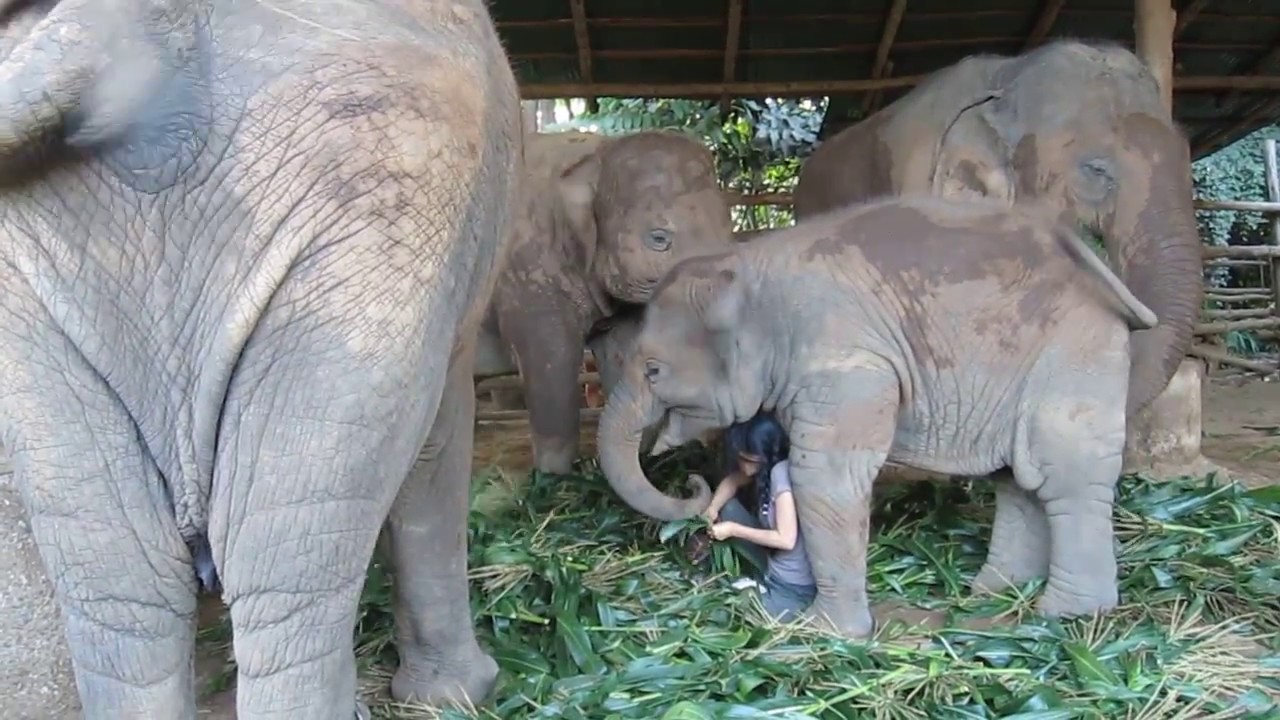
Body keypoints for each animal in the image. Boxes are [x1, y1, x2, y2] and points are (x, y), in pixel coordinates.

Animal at [0, 0, 520, 717]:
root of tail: (118, 32)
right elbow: (438, 442)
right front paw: (459, 696)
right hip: (375, 206)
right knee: (282, 568)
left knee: (128, 587)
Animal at [474, 129, 736, 475]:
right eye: (659, 239)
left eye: (729, 226)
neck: (598, 152)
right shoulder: (527, 270)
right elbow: (553, 362)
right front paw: (554, 477)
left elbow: (620, 352)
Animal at [596, 195, 1157, 637]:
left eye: (652, 370)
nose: (693, 490)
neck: (748, 264)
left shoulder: (849, 364)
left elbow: (823, 478)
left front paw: (828, 633)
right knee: (1018, 482)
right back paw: (993, 594)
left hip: (1074, 355)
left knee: (1065, 478)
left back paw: (1068, 616)